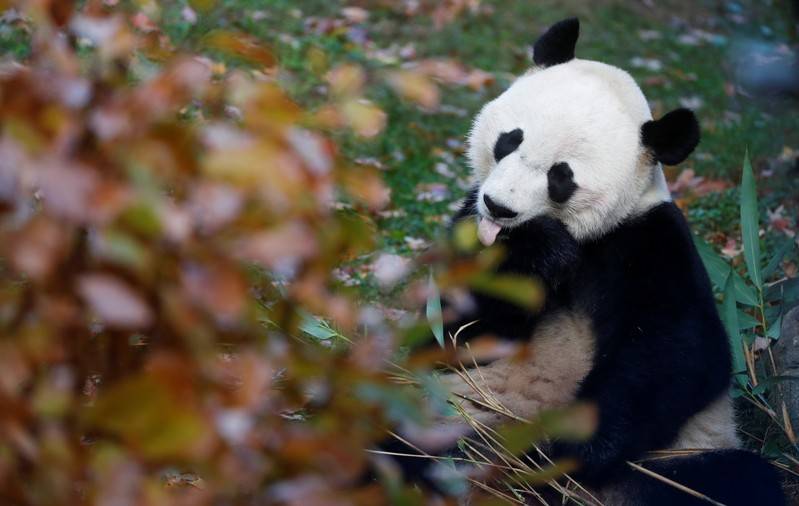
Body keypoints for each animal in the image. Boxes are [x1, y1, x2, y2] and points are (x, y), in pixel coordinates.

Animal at [375, 18, 786, 506]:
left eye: (561, 177)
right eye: (509, 141)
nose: (499, 207)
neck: (584, 238)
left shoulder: (648, 243)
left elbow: (676, 353)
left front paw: (562, 450)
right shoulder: (468, 230)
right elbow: (451, 335)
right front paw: (538, 251)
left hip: (680, 456)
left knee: (733, 478)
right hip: (437, 413)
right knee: (388, 440)